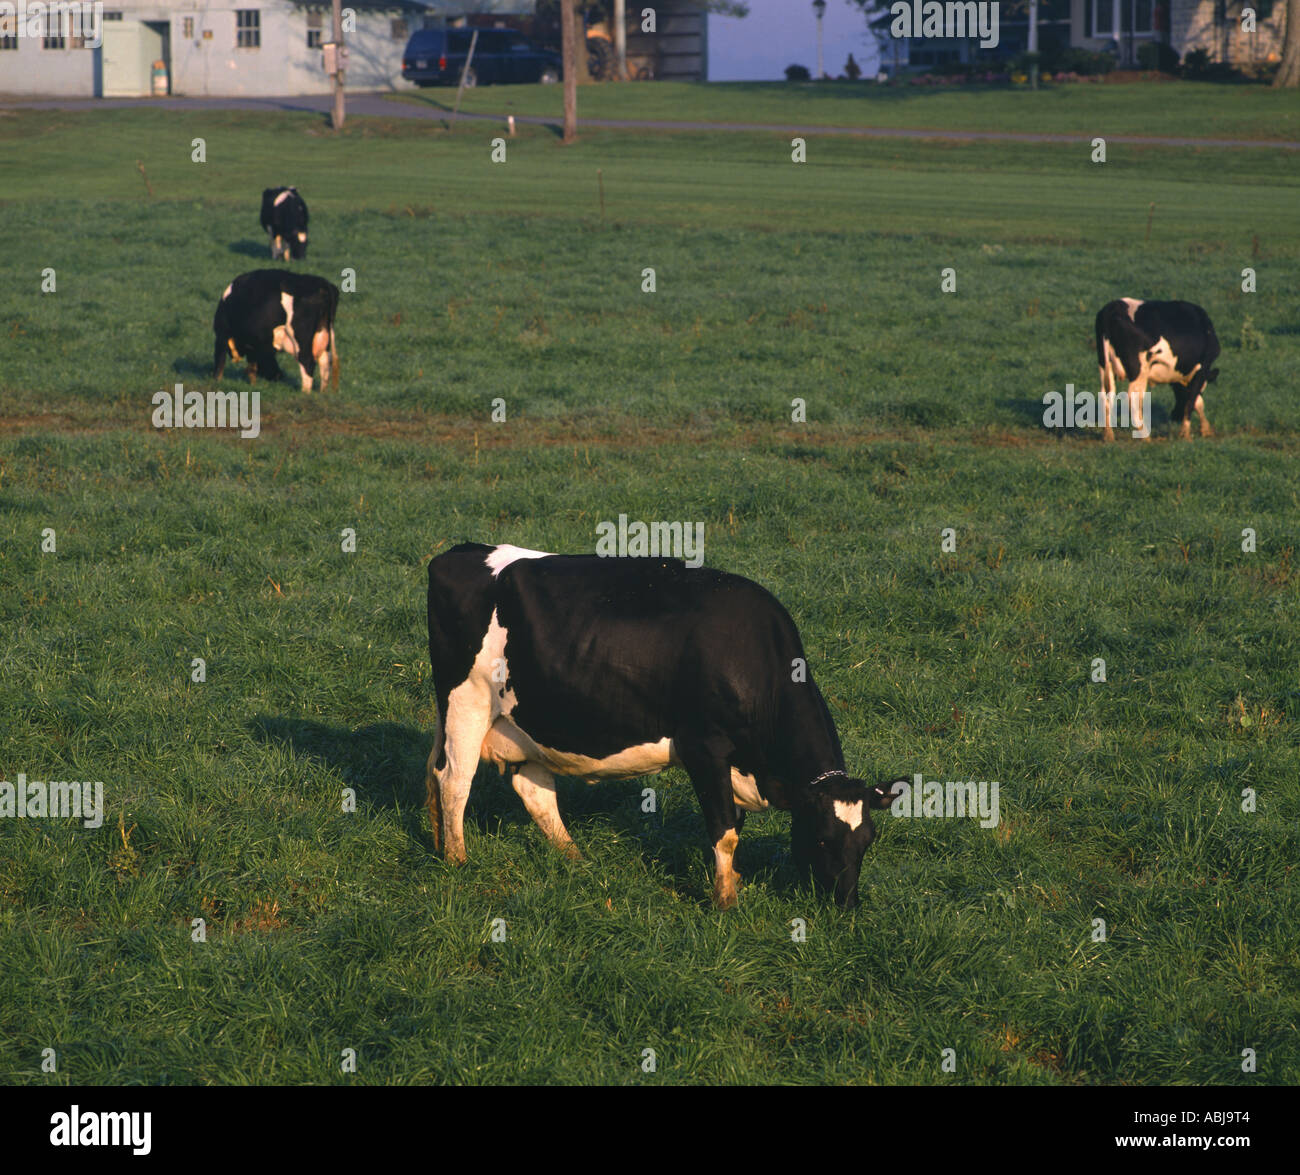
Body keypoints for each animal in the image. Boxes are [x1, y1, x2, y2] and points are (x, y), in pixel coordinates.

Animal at [425, 542, 907, 909]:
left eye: (868, 840)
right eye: (822, 839)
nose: (847, 902)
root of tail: (460, 552)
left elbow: (733, 826)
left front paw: (733, 882)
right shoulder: (705, 747)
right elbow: (725, 831)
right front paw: (726, 901)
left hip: (522, 722)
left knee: (520, 787)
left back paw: (570, 857)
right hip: (466, 701)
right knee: (455, 781)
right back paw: (457, 859)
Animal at [1095, 298, 1220, 440]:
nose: (1175, 416)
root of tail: (1113, 307)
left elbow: (1197, 402)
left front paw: (1206, 429)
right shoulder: (1203, 367)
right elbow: (1193, 400)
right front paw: (1186, 433)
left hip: (1105, 365)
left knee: (1106, 396)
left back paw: (1108, 435)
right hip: (1140, 370)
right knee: (1133, 399)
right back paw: (1145, 436)